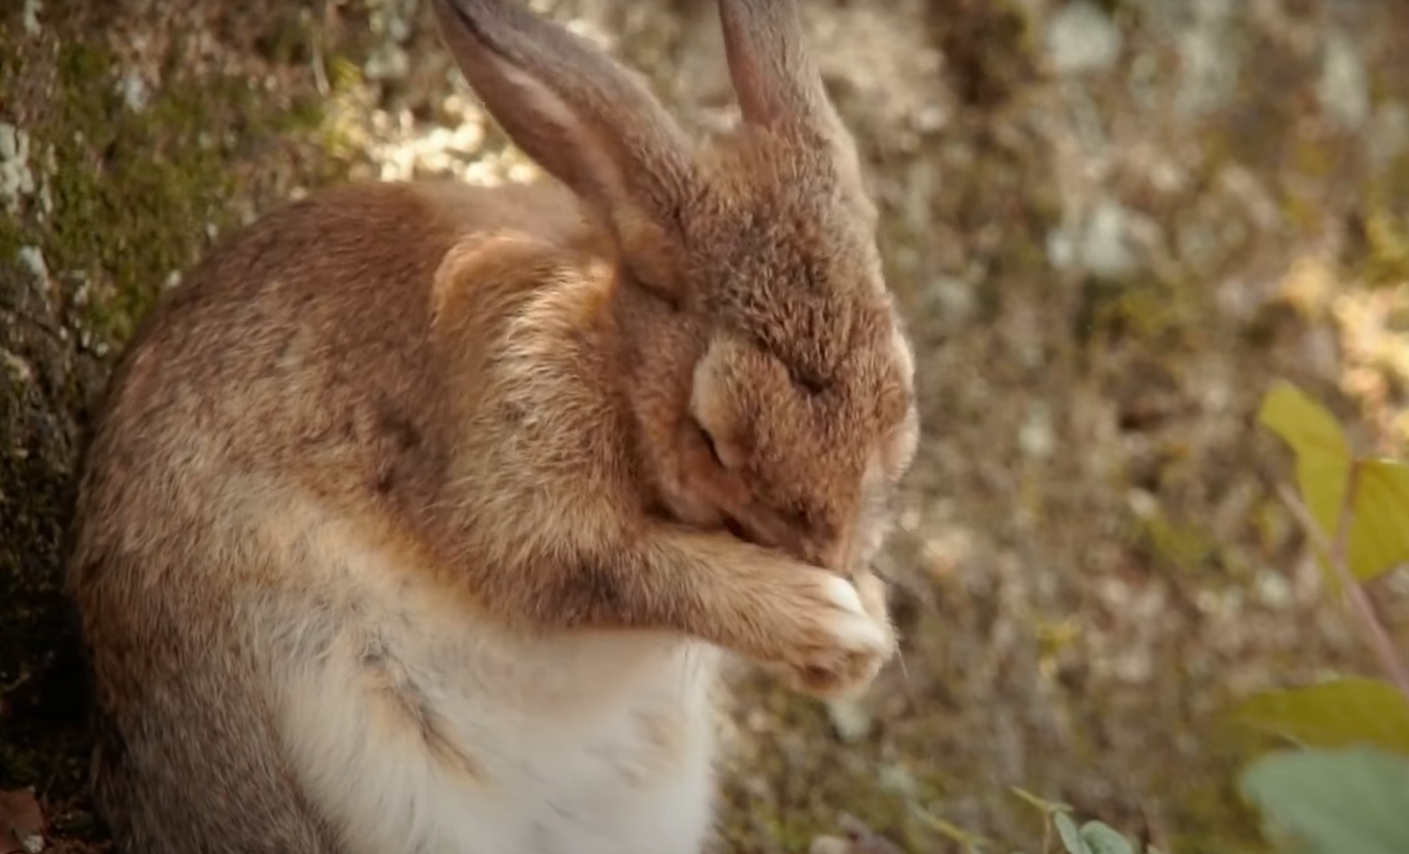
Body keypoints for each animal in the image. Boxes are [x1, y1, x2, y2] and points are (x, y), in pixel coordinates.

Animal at [64, 0, 920, 852]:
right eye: (710, 439)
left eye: (901, 401)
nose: (830, 552)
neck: (617, 359)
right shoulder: (519, 488)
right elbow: (625, 566)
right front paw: (833, 630)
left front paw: (862, 634)